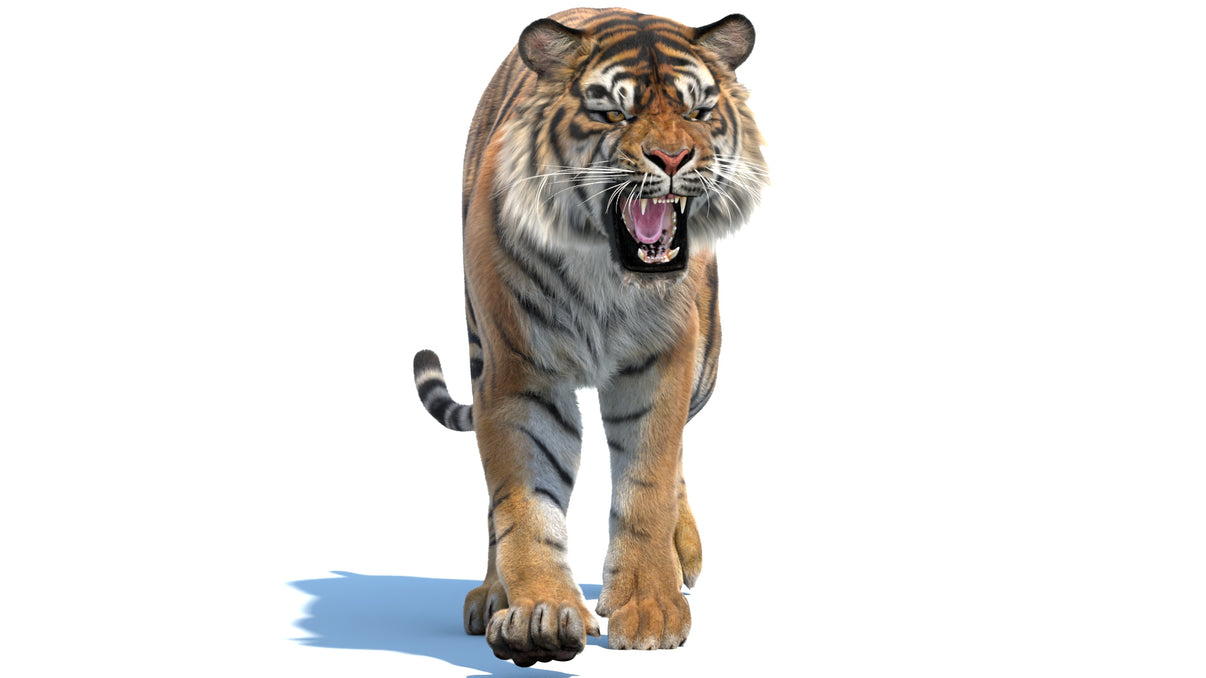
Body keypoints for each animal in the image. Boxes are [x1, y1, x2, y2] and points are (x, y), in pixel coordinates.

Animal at [412, 7, 767, 666]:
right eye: (613, 114)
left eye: (698, 111)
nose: (673, 158)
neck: (604, 271)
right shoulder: (517, 375)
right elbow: (524, 502)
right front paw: (540, 614)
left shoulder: (662, 363)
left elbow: (650, 482)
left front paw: (651, 610)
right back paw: (490, 593)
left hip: (705, 364)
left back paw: (686, 555)